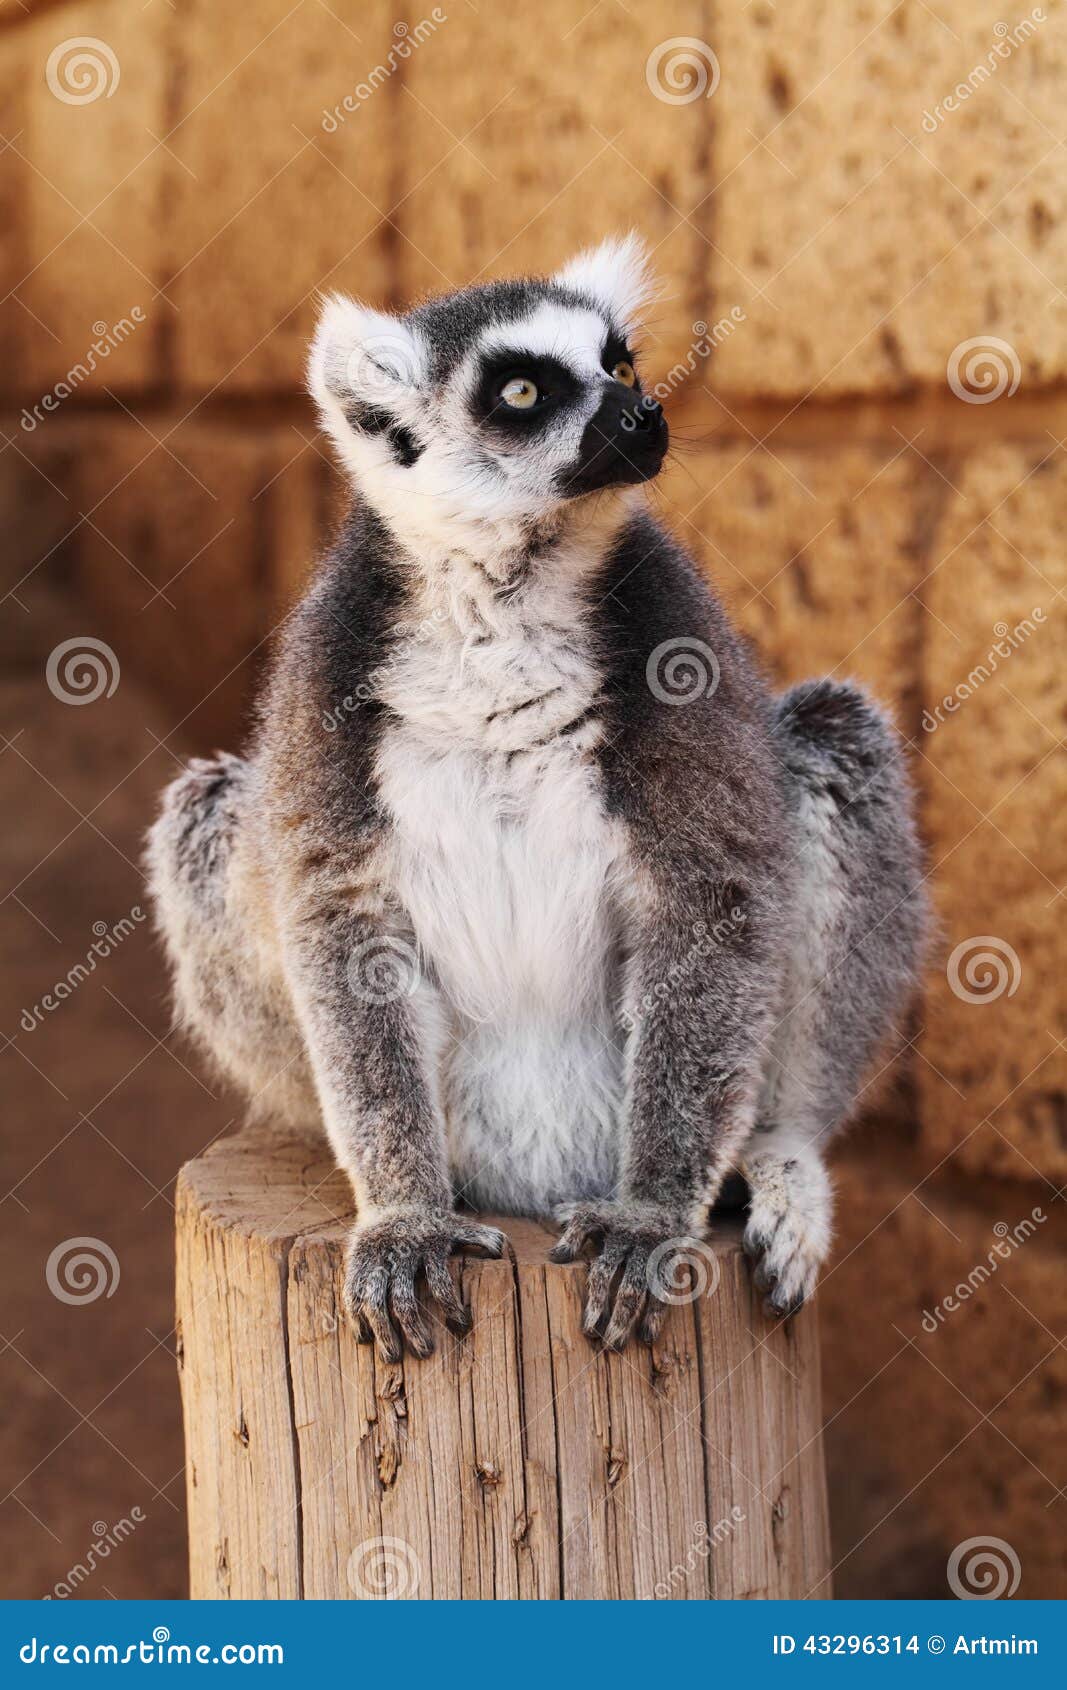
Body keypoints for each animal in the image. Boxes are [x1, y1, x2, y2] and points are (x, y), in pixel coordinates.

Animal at [147, 236, 925, 1362]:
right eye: (522, 391)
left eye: (621, 364)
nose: (643, 417)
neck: (501, 595)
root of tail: (534, 1181)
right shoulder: (324, 679)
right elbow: (338, 914)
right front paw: (403, 1217)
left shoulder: (673, 640)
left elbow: (713, 894)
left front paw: (647, 1217)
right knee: (209, 812)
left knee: (833, 732)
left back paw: (775, 1156)